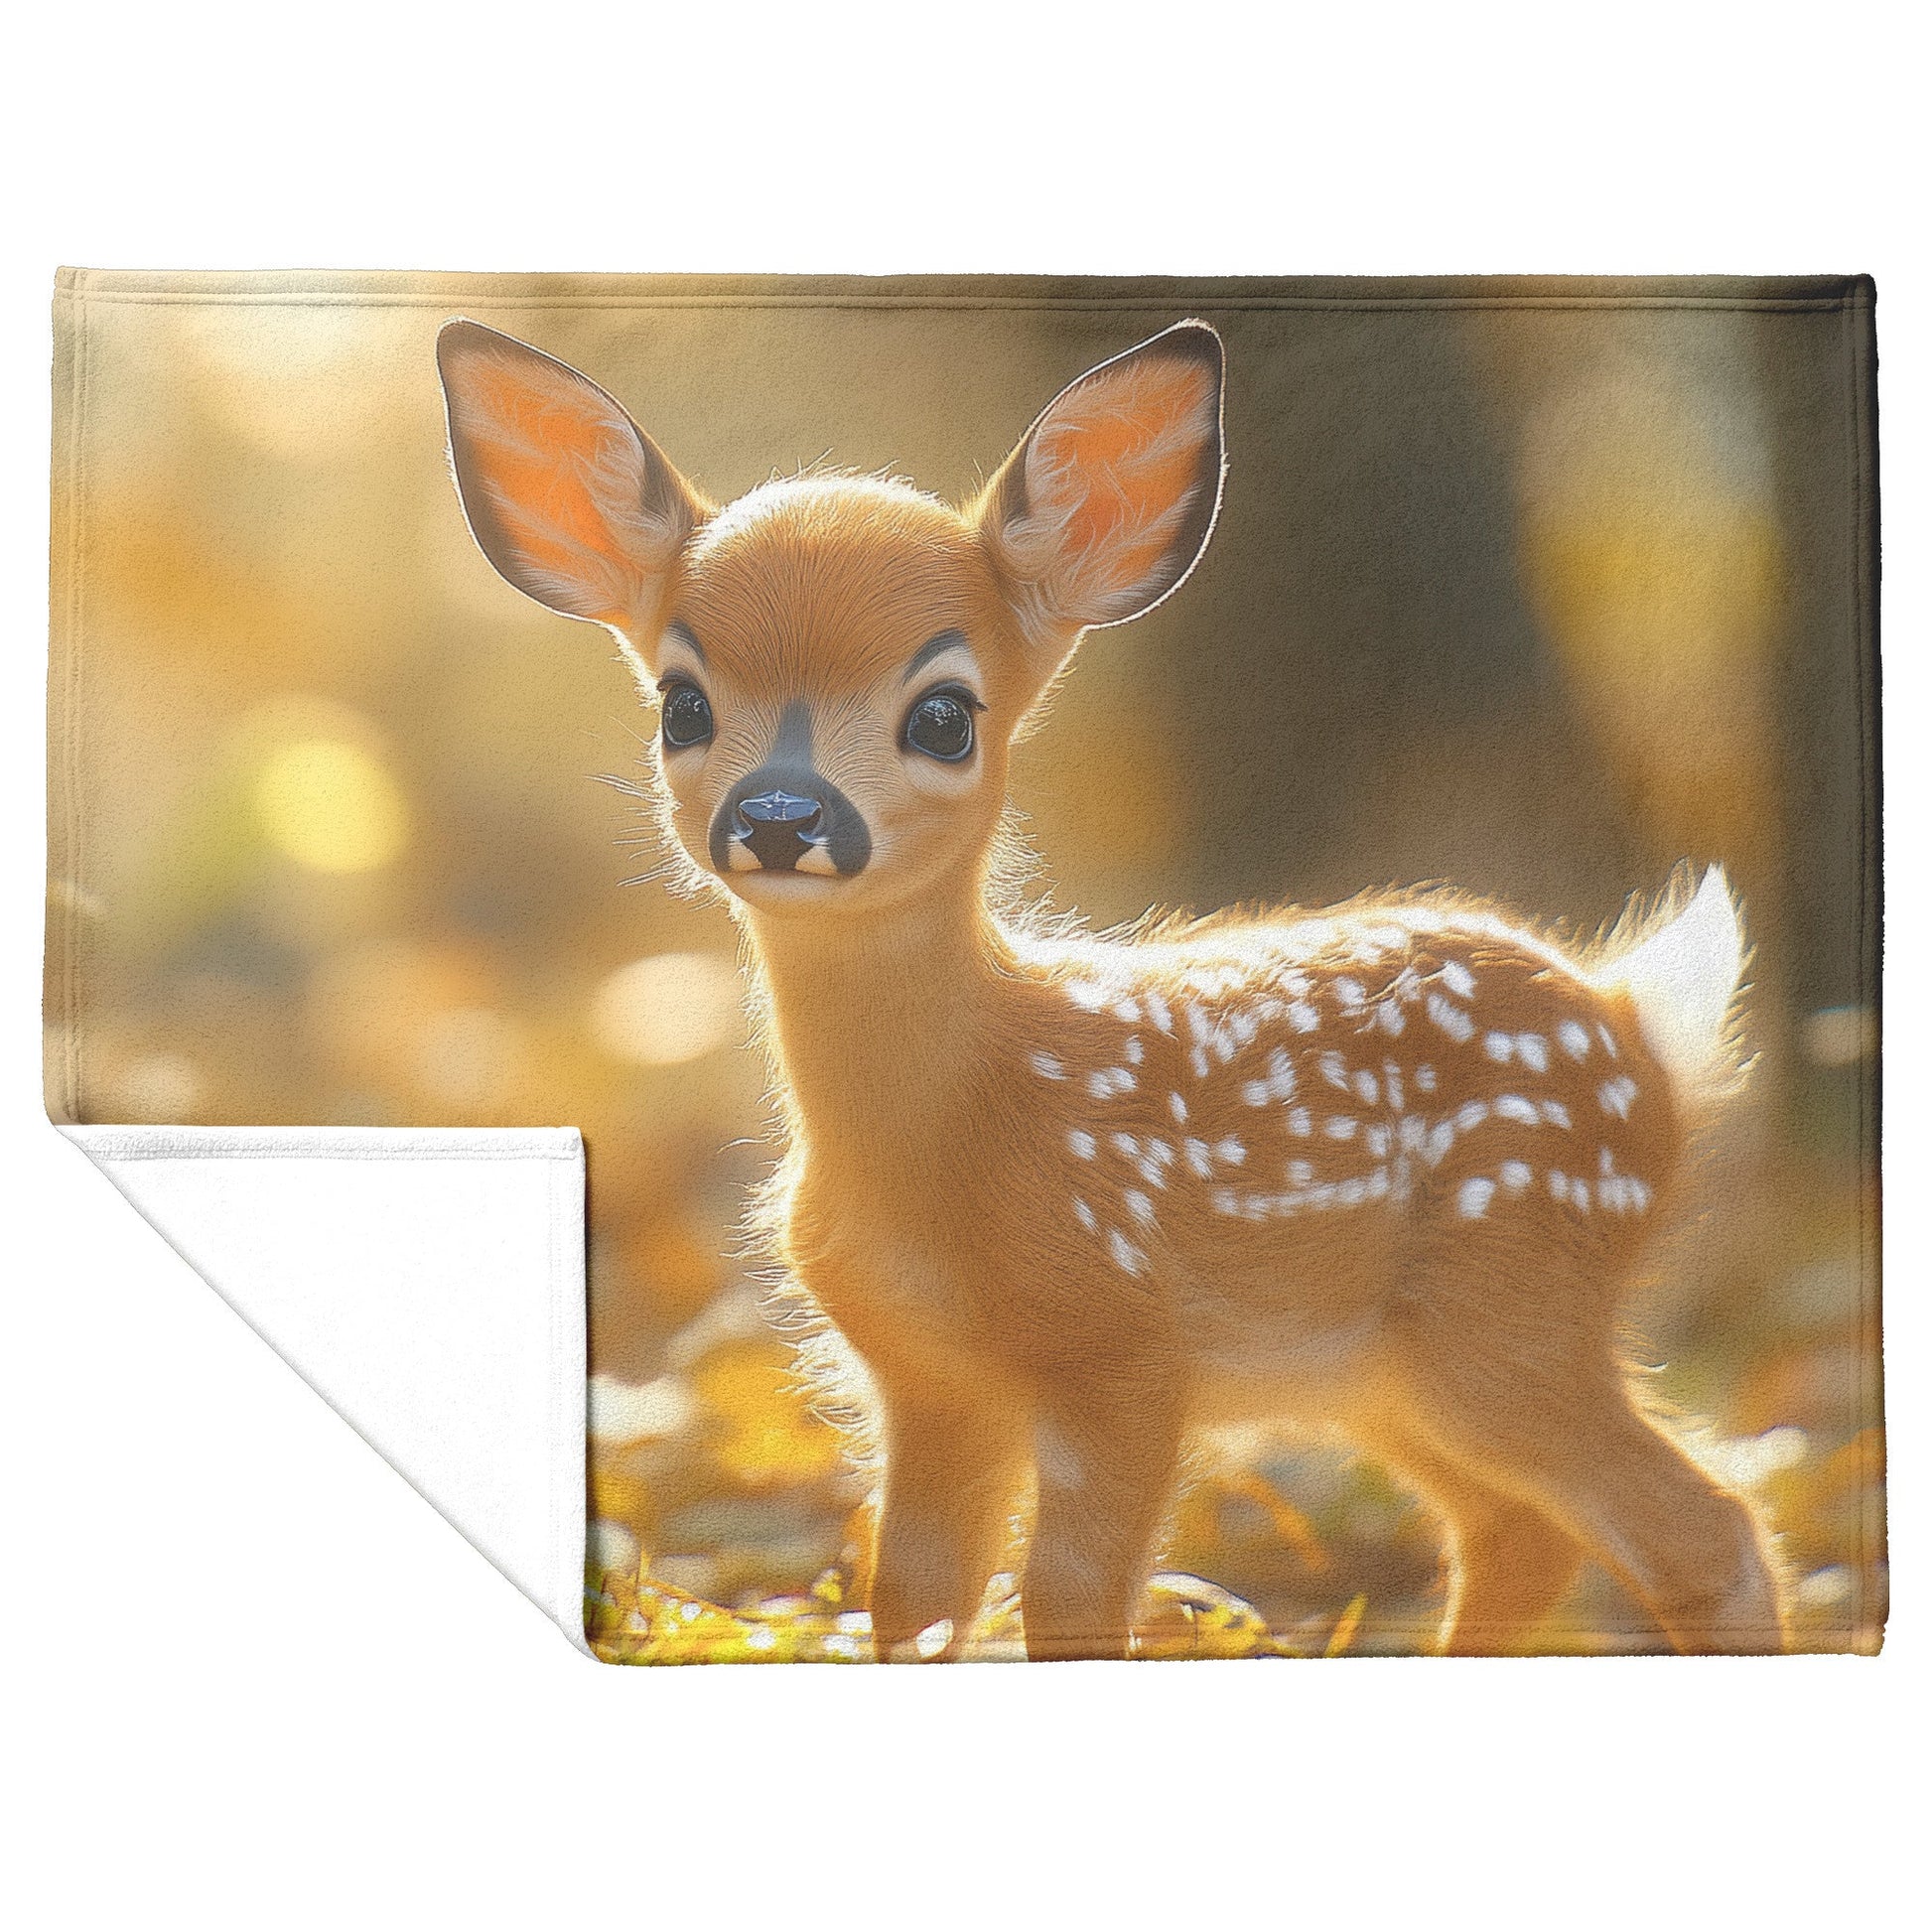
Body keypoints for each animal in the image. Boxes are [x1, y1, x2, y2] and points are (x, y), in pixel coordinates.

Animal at [436, 315, 1786, 1660]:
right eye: (681, 704)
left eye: (943, 714)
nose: (779, 815)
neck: (953, 1123)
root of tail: (1637, 1025)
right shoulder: (923, 1373)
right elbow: (911, 1599)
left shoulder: (1123, 1338)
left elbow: (1073, 1598)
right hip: (1380, 1365)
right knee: (1520, 1532)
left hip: (1509, 1292)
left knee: (1700, 1523)